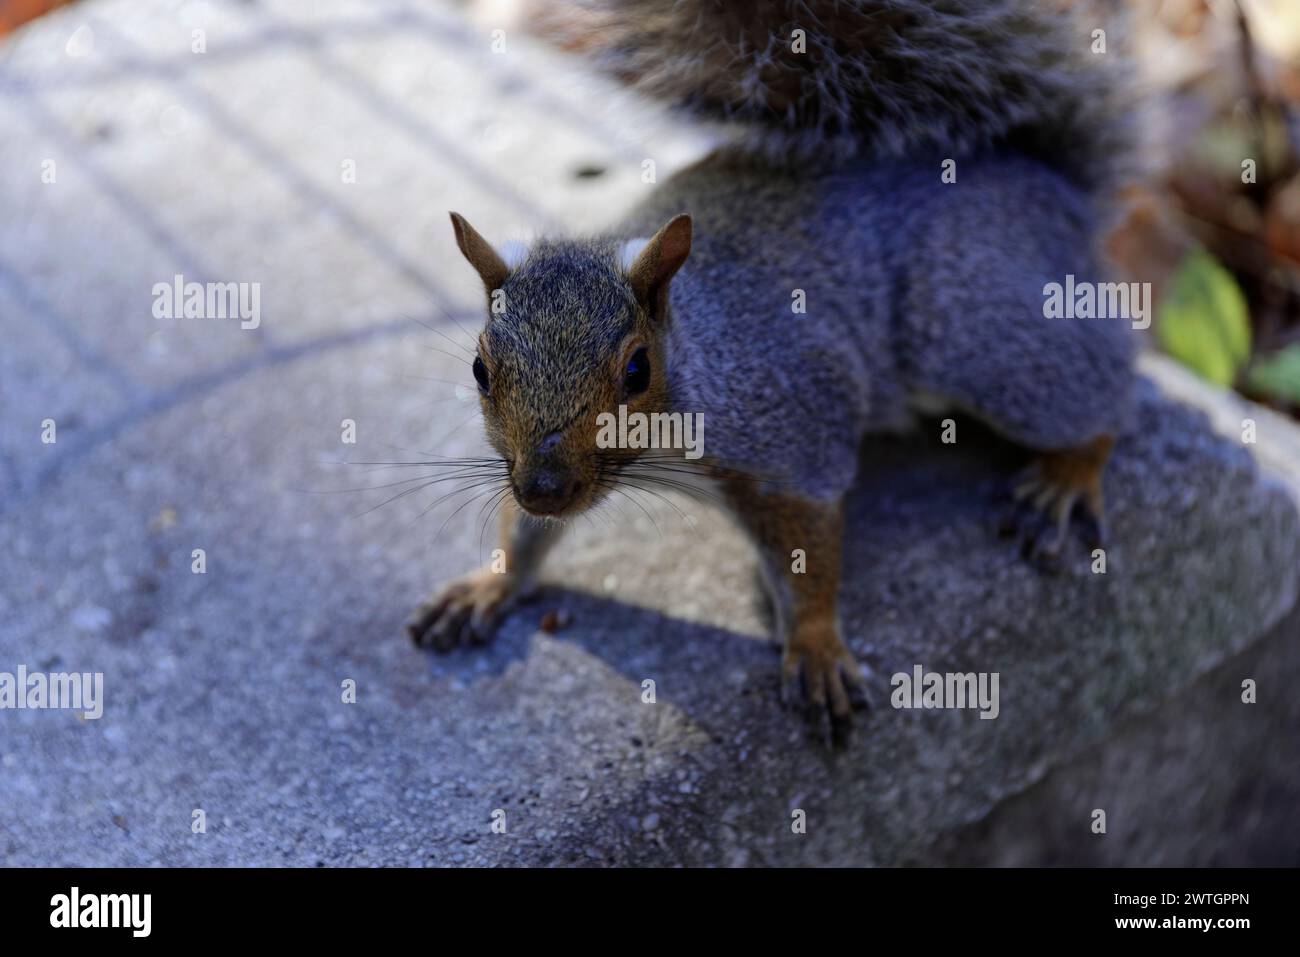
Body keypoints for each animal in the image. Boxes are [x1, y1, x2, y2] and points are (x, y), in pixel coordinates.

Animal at [407, 0, 1138, 738]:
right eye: (480, 369)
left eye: (638, 371)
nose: (546, 488)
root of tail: (1049, 192)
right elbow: (525, 531)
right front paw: (491, 582)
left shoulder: (792, 426)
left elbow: (809, 555)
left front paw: (815, 647)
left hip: (979, 332)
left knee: (1101, 385)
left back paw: (1065, 478)